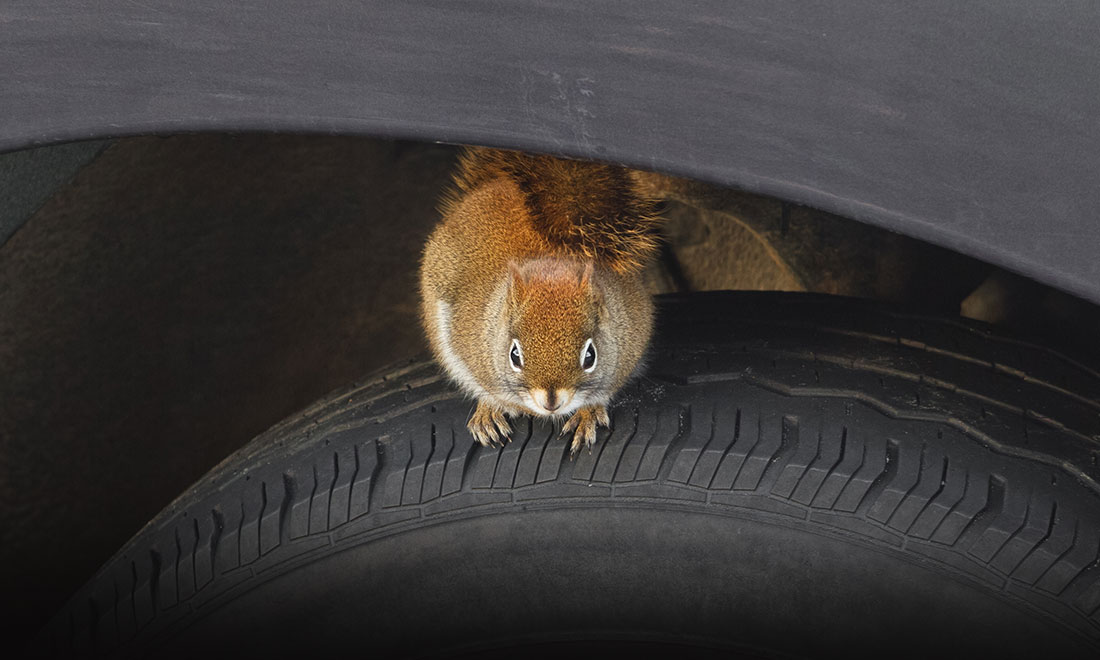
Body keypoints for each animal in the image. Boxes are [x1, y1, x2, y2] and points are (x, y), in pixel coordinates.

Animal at [419, 147, 662, 454]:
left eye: (590, 356)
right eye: (514, 355)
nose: (551, 402)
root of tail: (494, 186)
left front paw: (588, 413)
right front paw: (491, 408)